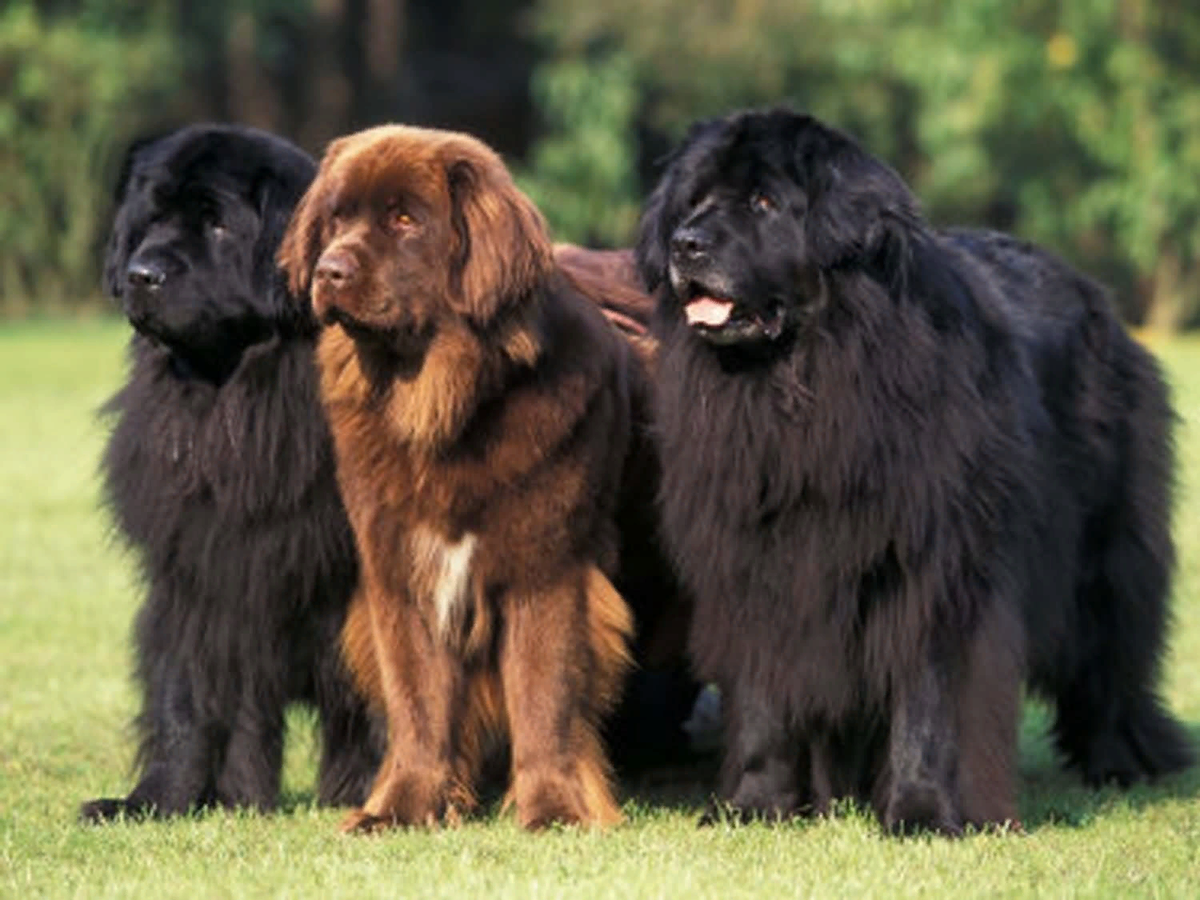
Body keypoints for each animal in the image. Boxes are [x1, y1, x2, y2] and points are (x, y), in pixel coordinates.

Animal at [81, 125, 379, 825]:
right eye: (150, 219)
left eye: (216, 223)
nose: (141, 275)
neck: (238, 397)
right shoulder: (199, 571)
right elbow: (184, 698)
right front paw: (160, 801)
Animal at [638, 109, 1190, 835]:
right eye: (694, 201)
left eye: (762, 203)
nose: (686, 244)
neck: (802, 383)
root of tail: (1088, 289)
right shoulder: (757, 563)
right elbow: (763, 697)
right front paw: (755, 805)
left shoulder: (938, 566)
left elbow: (928, 697)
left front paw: (923, 810)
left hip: (1104, 550)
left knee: (1110, 656)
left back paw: (1123, 761)